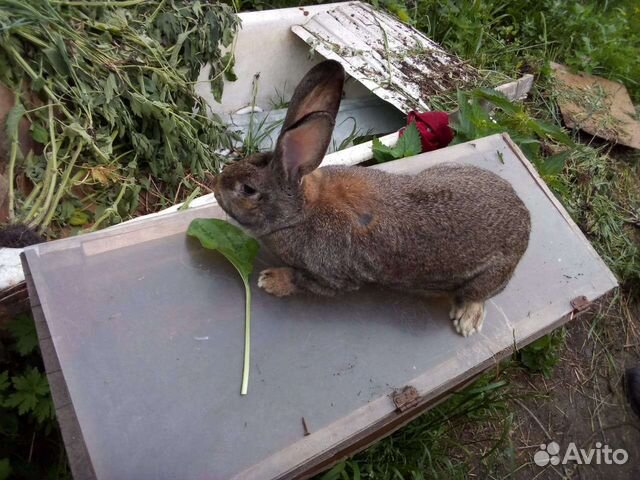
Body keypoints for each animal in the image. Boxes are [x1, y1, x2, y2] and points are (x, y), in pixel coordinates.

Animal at [213, 60, 531, 337]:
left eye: (247, 190)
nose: (216, 188)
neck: (301, 211)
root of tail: (526, 222)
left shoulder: (331, 277)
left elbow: (301, 280)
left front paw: (270, 280)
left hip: (486, 277)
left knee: (479, 295)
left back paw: (467, 321)